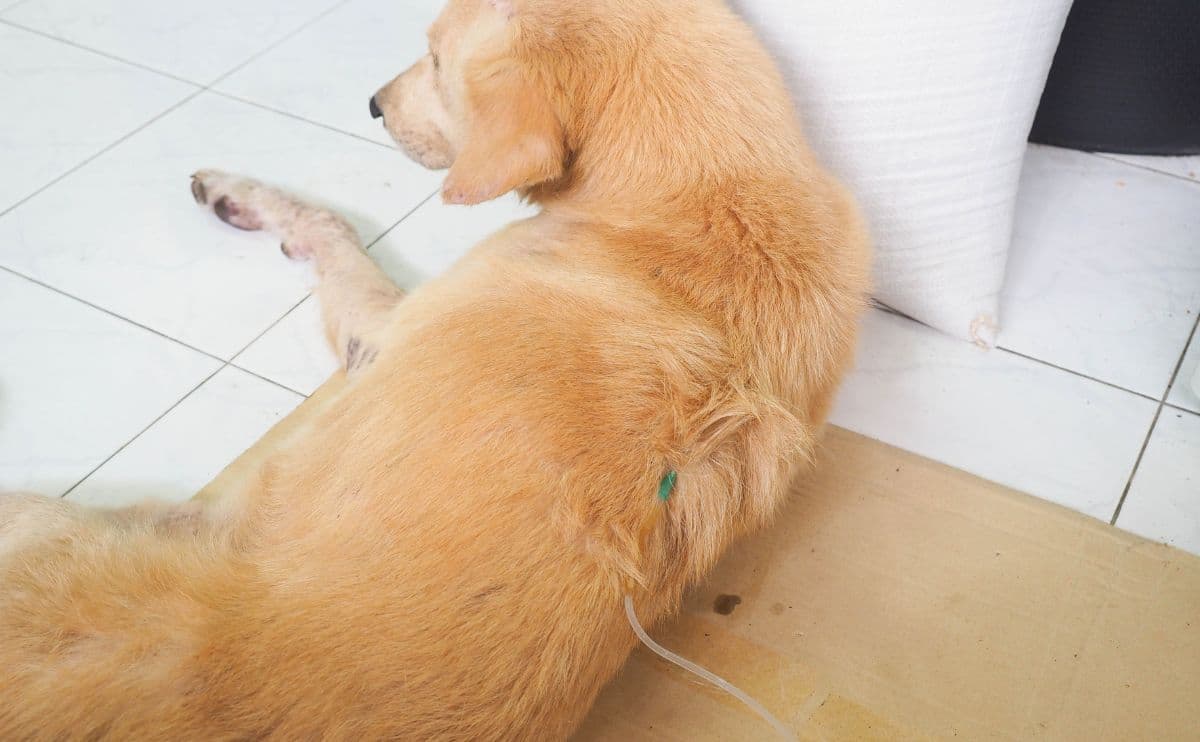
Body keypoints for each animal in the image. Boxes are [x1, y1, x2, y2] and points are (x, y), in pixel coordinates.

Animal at [0, 0, 864, 734]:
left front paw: (248, 195)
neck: (703, 191)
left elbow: (331, 227)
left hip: (46, 518)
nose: (371, 104)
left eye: (437, 59)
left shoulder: (378, 334)